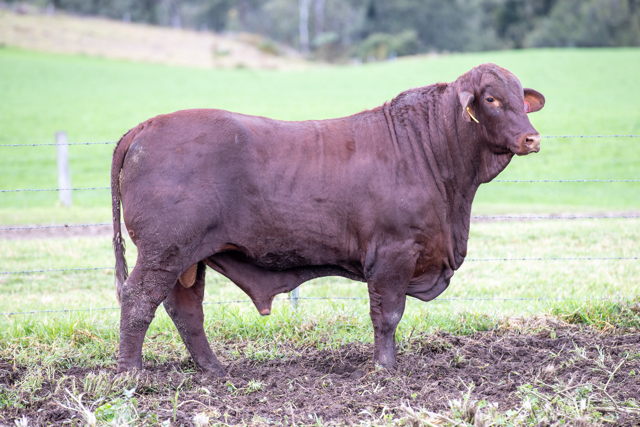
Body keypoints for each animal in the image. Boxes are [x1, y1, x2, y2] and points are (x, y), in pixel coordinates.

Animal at [111, 63, 545, 376]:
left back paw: (215, 369)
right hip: (165, 250)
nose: (532, 138)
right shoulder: (393, 253)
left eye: (521, 100)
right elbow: (387, 315)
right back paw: (132, 373)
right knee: (138, 300)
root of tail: (147, 126)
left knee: (186, 310)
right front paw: (385, 369)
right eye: (491, 98)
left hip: (189, 256)